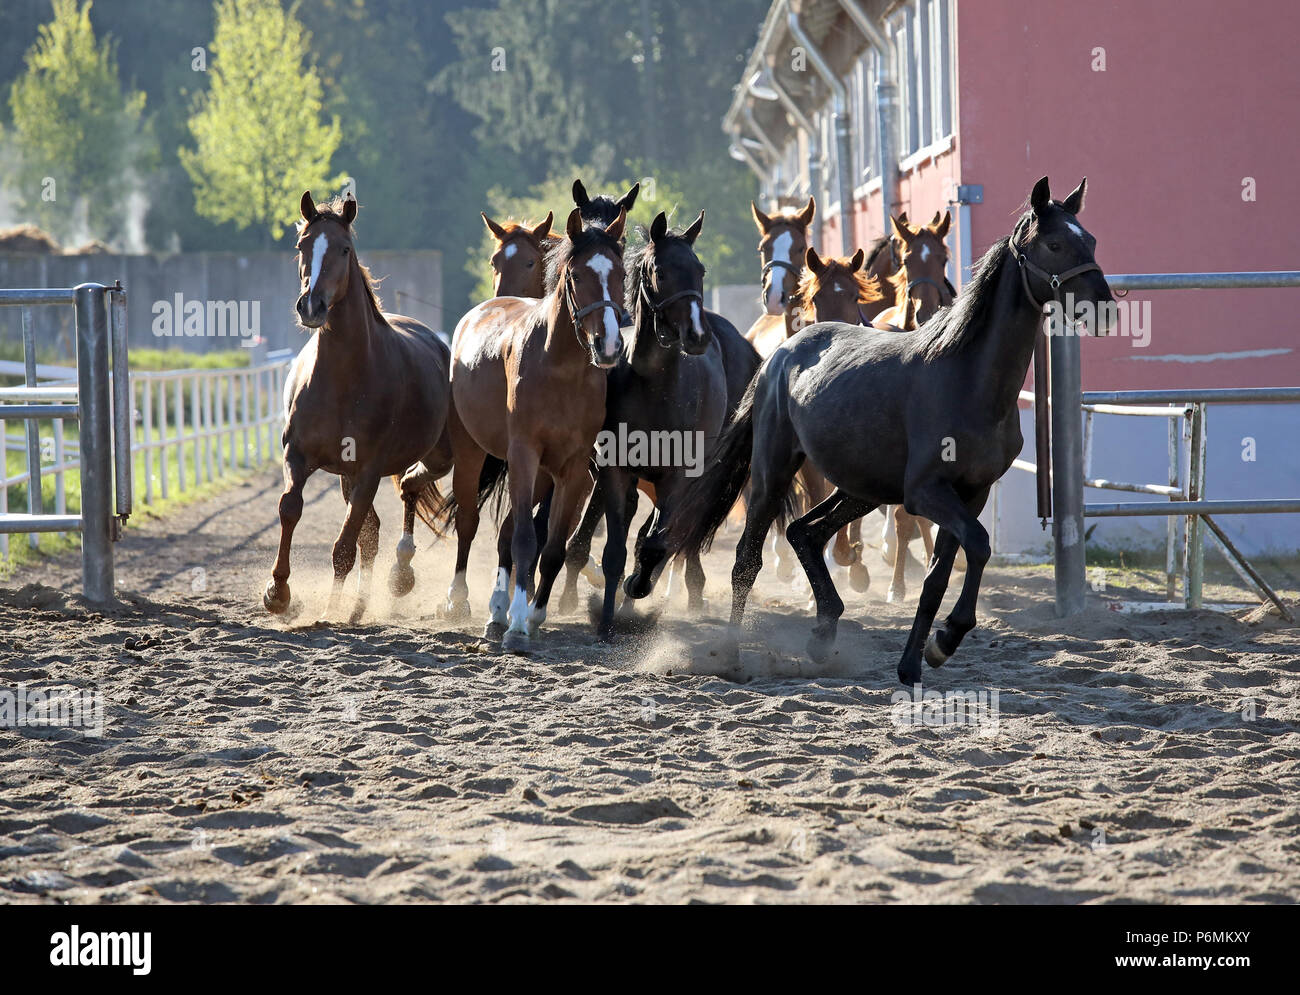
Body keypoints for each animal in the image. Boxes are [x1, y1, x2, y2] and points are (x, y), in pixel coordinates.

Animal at [265, 191, 451, 623]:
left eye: (344, 249)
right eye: (302, 245)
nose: (311, 306)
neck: (343, 379)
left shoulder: (368, 470)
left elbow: (344, 546)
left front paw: (331, 610)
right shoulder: (298, 456)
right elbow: (291, 508)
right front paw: (278, 591)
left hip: (439, 456)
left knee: (409, 490)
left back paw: (395, 578)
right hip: (347, 476)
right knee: (375, 529)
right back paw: (363, 602)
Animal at [444, 206, 628, 650]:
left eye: (620, 274)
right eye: (576, 275)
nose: (609, 345)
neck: (560, 368)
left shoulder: (572, 468)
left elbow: (554, 547)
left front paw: (532, 615)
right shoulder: (524, 455)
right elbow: (527, 539)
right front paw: (516, 627)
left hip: (544, 471)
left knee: (509, 530)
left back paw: (500, 610)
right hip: (471, 449)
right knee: (471, 521)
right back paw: (464, 600)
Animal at [669, 177, 1112, 685]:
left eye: (1090, 240)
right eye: (1055, 244)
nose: (1104, 306)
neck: (968, 376)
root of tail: (780, 353)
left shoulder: (970, 493)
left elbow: (941, 573)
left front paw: (921, 657)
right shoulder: (927, 492)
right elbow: (978, 546)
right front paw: (946, 638)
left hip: (860, 488)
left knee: (806, 533)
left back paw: (824, 632)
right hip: (772, 472)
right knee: (749, 556)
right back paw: (732, 654)